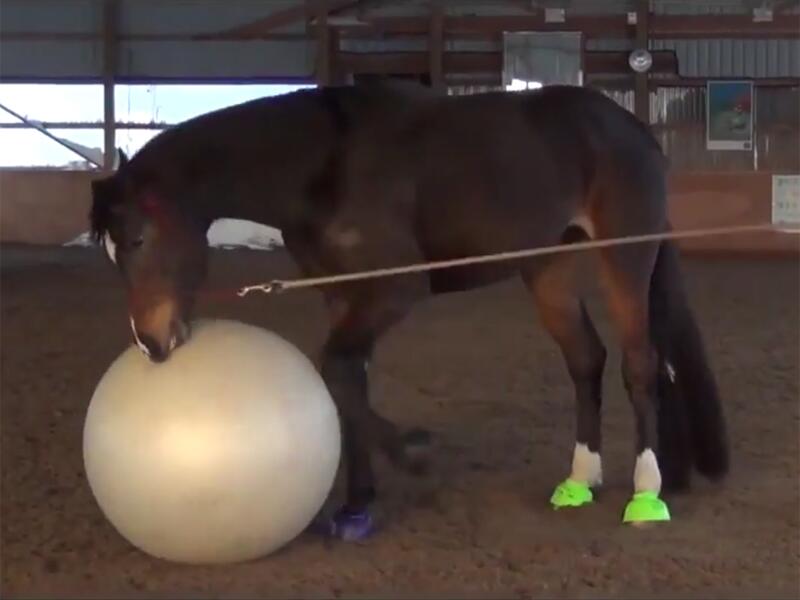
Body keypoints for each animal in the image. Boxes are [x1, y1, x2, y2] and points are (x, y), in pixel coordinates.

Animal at [89, 80, 729, 541]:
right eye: (110, 251)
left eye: (139, 240)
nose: (151, 342)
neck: (324, 164)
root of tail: (634, 129)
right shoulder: (345, 294)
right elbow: (350, 383)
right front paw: (356, 508)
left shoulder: (393, 290)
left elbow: (336, 368)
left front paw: (414, 454)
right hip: (547, 268)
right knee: (586, 360)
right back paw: (579, 480)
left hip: (626, 255)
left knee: (640, 364)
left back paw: (645, 493)